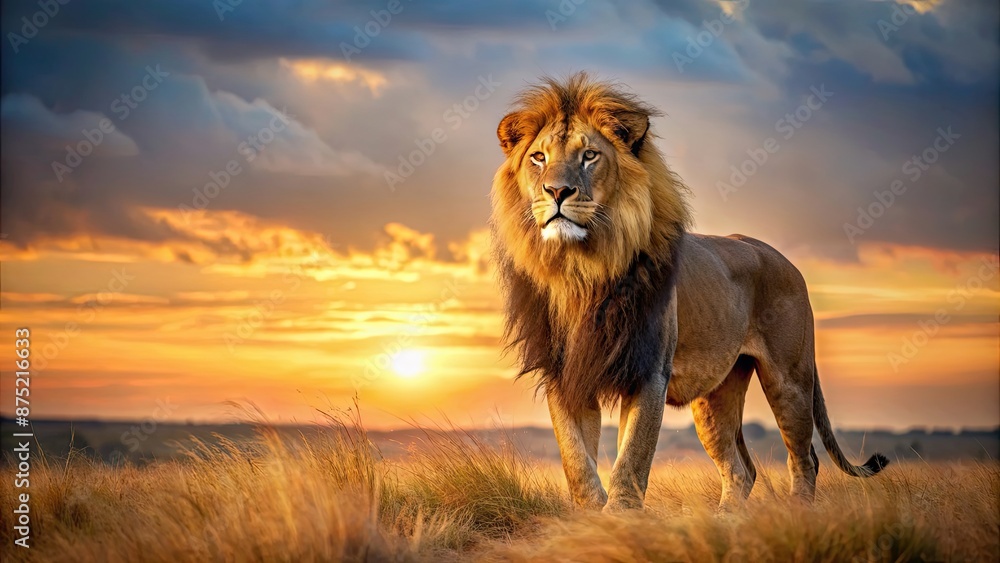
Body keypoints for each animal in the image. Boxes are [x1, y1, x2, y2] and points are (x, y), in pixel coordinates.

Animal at [490, 73, 887, 512]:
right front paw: (591, 515)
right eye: (538, 157)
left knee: (805, 458)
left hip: (790, 380)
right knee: (742, 469)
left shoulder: (649, 370)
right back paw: (726, 519)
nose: (557, 191)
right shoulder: (565, 374)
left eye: (590, 155)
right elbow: (576, 459)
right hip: (715, 396)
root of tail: (784, 260)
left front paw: (619, 515)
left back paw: (797, 512)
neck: (581, 269)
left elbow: (633, 456)